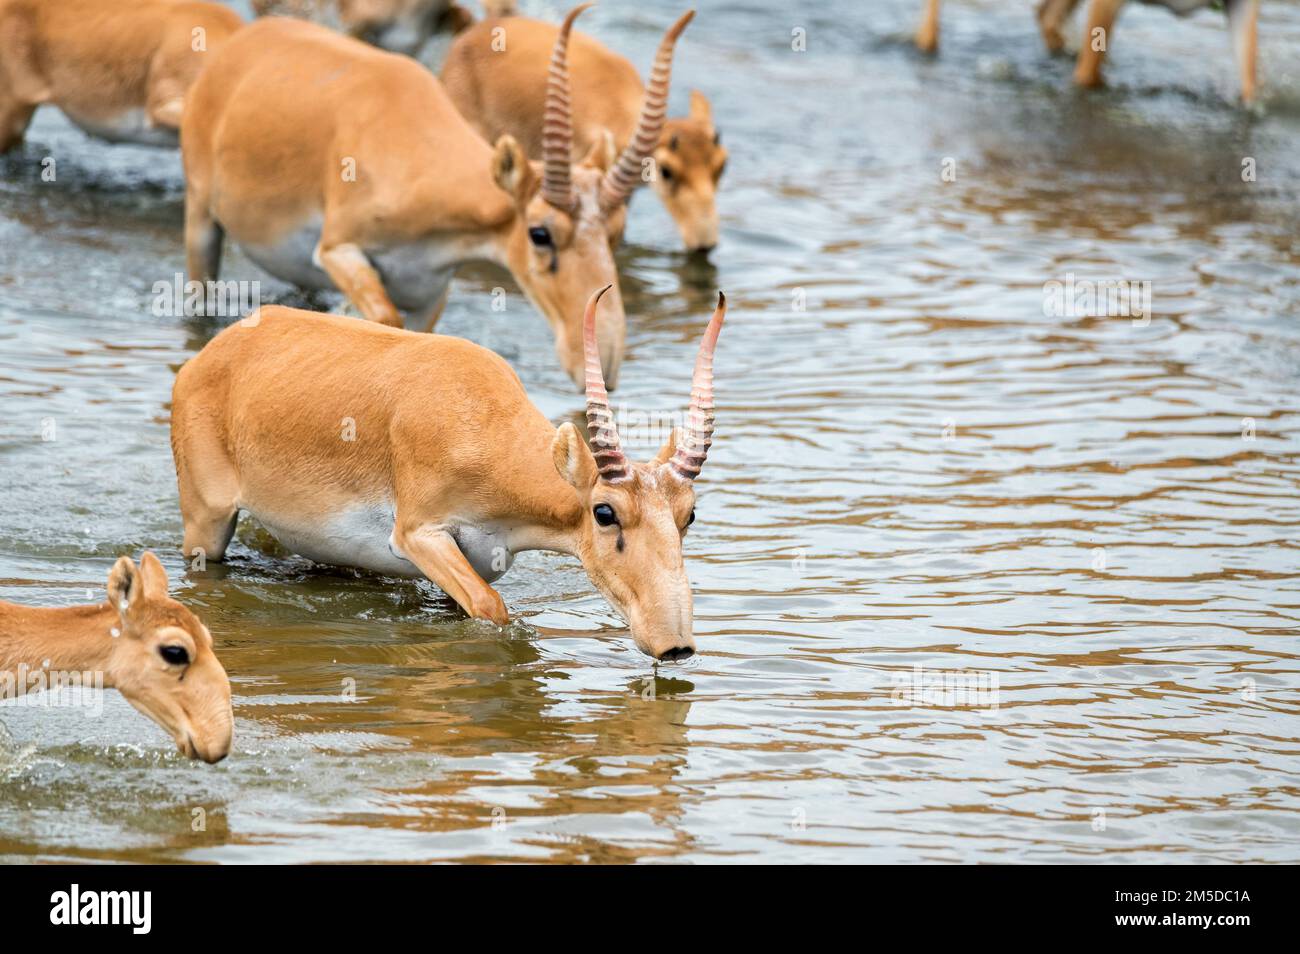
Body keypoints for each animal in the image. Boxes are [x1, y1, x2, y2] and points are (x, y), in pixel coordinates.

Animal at [170, 287, 726, 662]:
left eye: (690, 514)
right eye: (604, 512)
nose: (674, 644)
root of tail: (209, 355)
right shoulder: (419, 533)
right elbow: (494, 608)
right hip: (205, 520)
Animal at [181, 9, 689, 390]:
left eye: (616, 232)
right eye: (539, 233)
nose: (607, 360)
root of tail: (240, 45)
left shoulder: (431, 294)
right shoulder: (339, 250)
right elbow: (385, 318)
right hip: (202, 218)